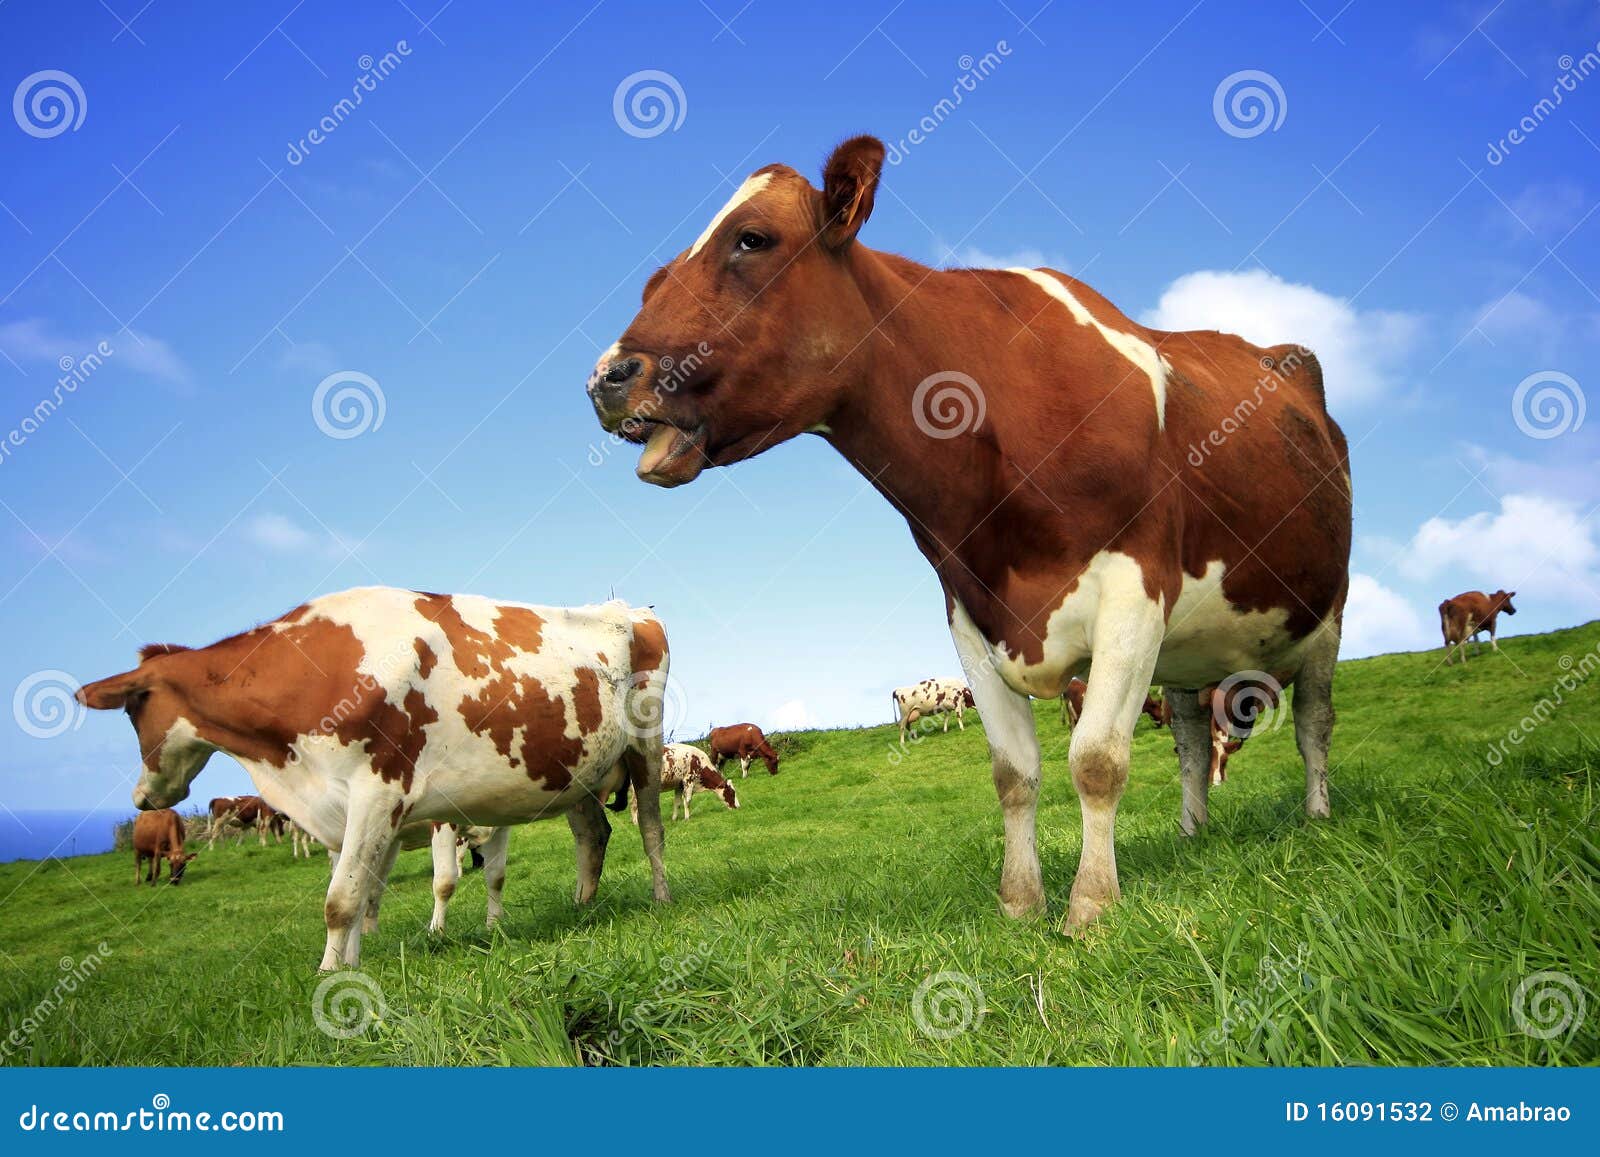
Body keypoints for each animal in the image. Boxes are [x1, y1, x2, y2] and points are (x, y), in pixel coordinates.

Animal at [76, 586, 673, 970]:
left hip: (645, 747)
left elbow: (342, 899)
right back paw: (582, 906)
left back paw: (661, 898)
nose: (143, 796)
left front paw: (327, 976)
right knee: (592, 834)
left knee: (650, 828)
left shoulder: (379, 793)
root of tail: (630, 609)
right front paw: (351, 964)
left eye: (133, 710)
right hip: (578, 773)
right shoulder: (350, 812)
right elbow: (363, 892)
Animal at [586, 135, 1351, 930]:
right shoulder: (967, 608)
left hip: (1325, 614)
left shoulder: (1135, 590)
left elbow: (1097, 759)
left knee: (1313, 720)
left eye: (752, 239)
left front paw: (1091, 906)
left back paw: (1317, 814)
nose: (608, 376)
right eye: (656, 277)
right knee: (1193, 740)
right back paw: (1192, 830)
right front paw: (1019, 901)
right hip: (1192, 652)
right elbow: (1013, 772)